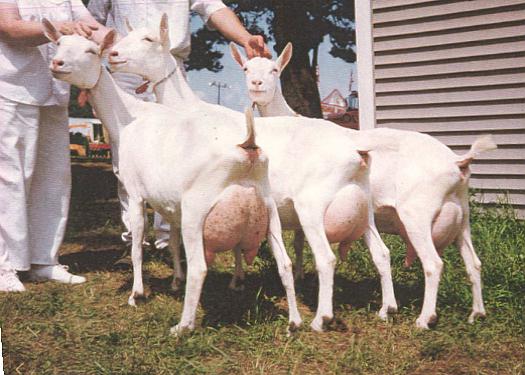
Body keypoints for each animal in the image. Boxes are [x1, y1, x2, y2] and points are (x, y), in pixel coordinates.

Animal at [44, 22, 302, 336]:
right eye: (59, 43)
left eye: (91, 51)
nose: (57, 64)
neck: (130, 117)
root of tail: (248, 146)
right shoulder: (170, 203)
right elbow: (173, 240)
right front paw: (176, 280)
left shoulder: (136, 193)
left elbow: (138, 244)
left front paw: (136, 294)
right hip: (268, 210)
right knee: (284, 263)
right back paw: (294, 322)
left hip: (197, 210)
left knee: (200, 267)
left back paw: (183, 326)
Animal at [109, 13, 398, 332]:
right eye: (124, 37)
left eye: (148, 39)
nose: (112, 55)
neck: (187, 110)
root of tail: (356, 151)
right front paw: (235, 281)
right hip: (362, 208)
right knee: (382, 253)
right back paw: (387, 309)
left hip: (312, 206)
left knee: (326, 259)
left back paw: (321, 318)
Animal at [229, 41, 496, 328]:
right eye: (246, 68)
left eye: (275, 69)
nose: (256, 84)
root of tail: (458, 161)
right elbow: (298, 243)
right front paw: (295, 276)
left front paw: (239, 280)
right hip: (462, 216)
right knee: (474, 263)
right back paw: (476, 313)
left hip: (417, 213)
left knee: (433, 263)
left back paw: (424, 319)